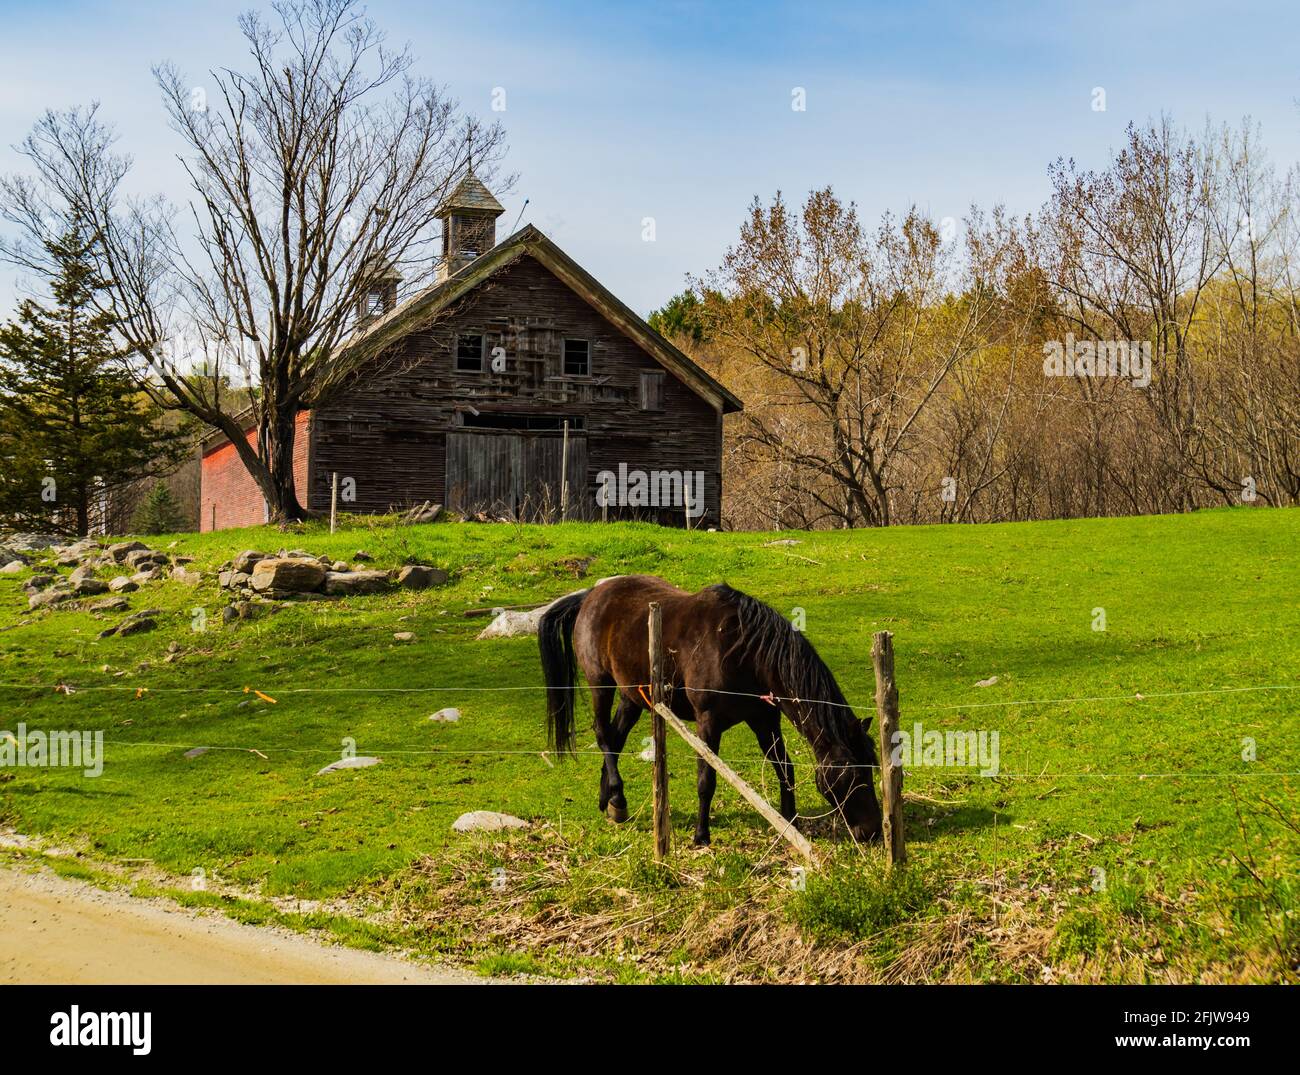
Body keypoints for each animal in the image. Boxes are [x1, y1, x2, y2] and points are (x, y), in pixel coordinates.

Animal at [537, 574, 882, 846]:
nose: (873, 831)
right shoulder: (708, 723)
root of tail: (590, 596)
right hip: (601, 684)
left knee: (616, 738)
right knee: (603, 735)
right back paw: (618, 798)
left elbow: (784, 769)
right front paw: (701, 835)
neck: (743, 651)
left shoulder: (764, 720)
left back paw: (609, 801)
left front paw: (790, 823)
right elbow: (707, 780)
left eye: (872, 768)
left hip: (632, 696)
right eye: (854, 773)